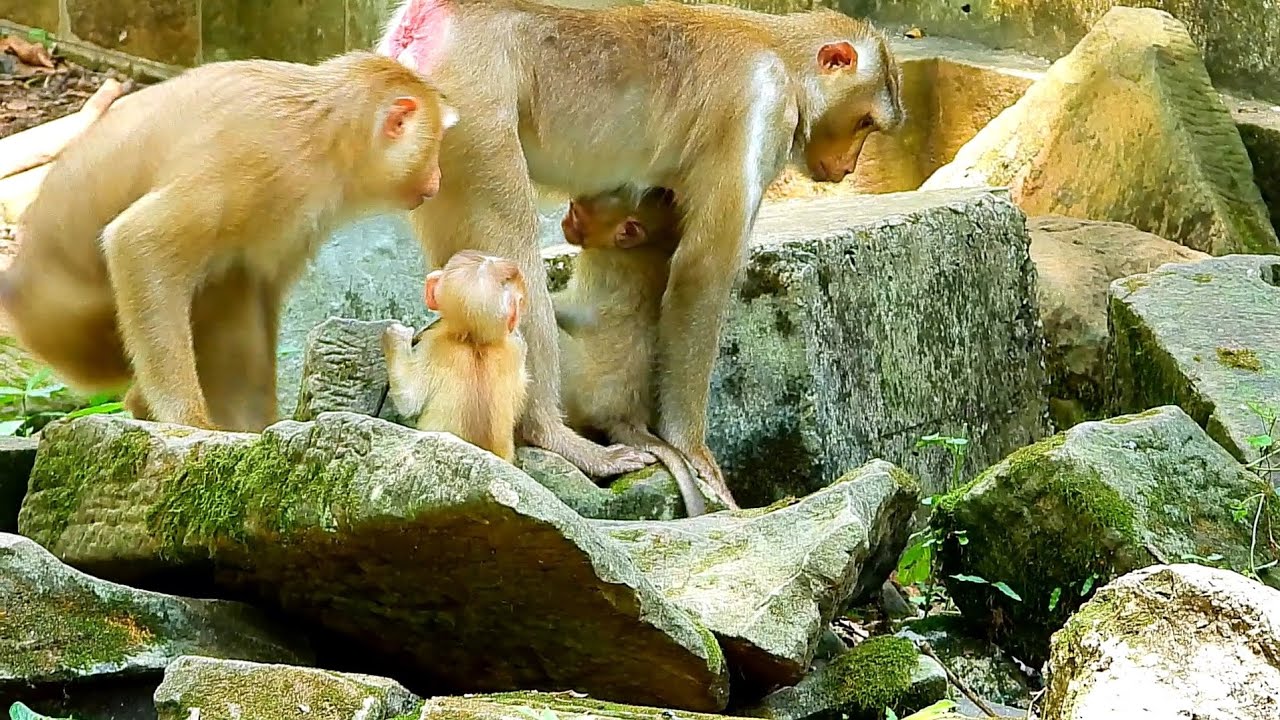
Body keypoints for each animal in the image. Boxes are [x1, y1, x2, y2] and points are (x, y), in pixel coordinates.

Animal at [0, 51, 457, 432]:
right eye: (434, 144)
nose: (437, 178)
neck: (326, 130)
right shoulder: (262, 161)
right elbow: (139, 241)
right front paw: (187, 421)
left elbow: (258, 286)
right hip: (74, 330)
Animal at [555, 187, 741, 516]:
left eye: (576, 211)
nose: (564, 223)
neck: (642, 247)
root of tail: (627, 417)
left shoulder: (601, 265)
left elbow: (577, 314)